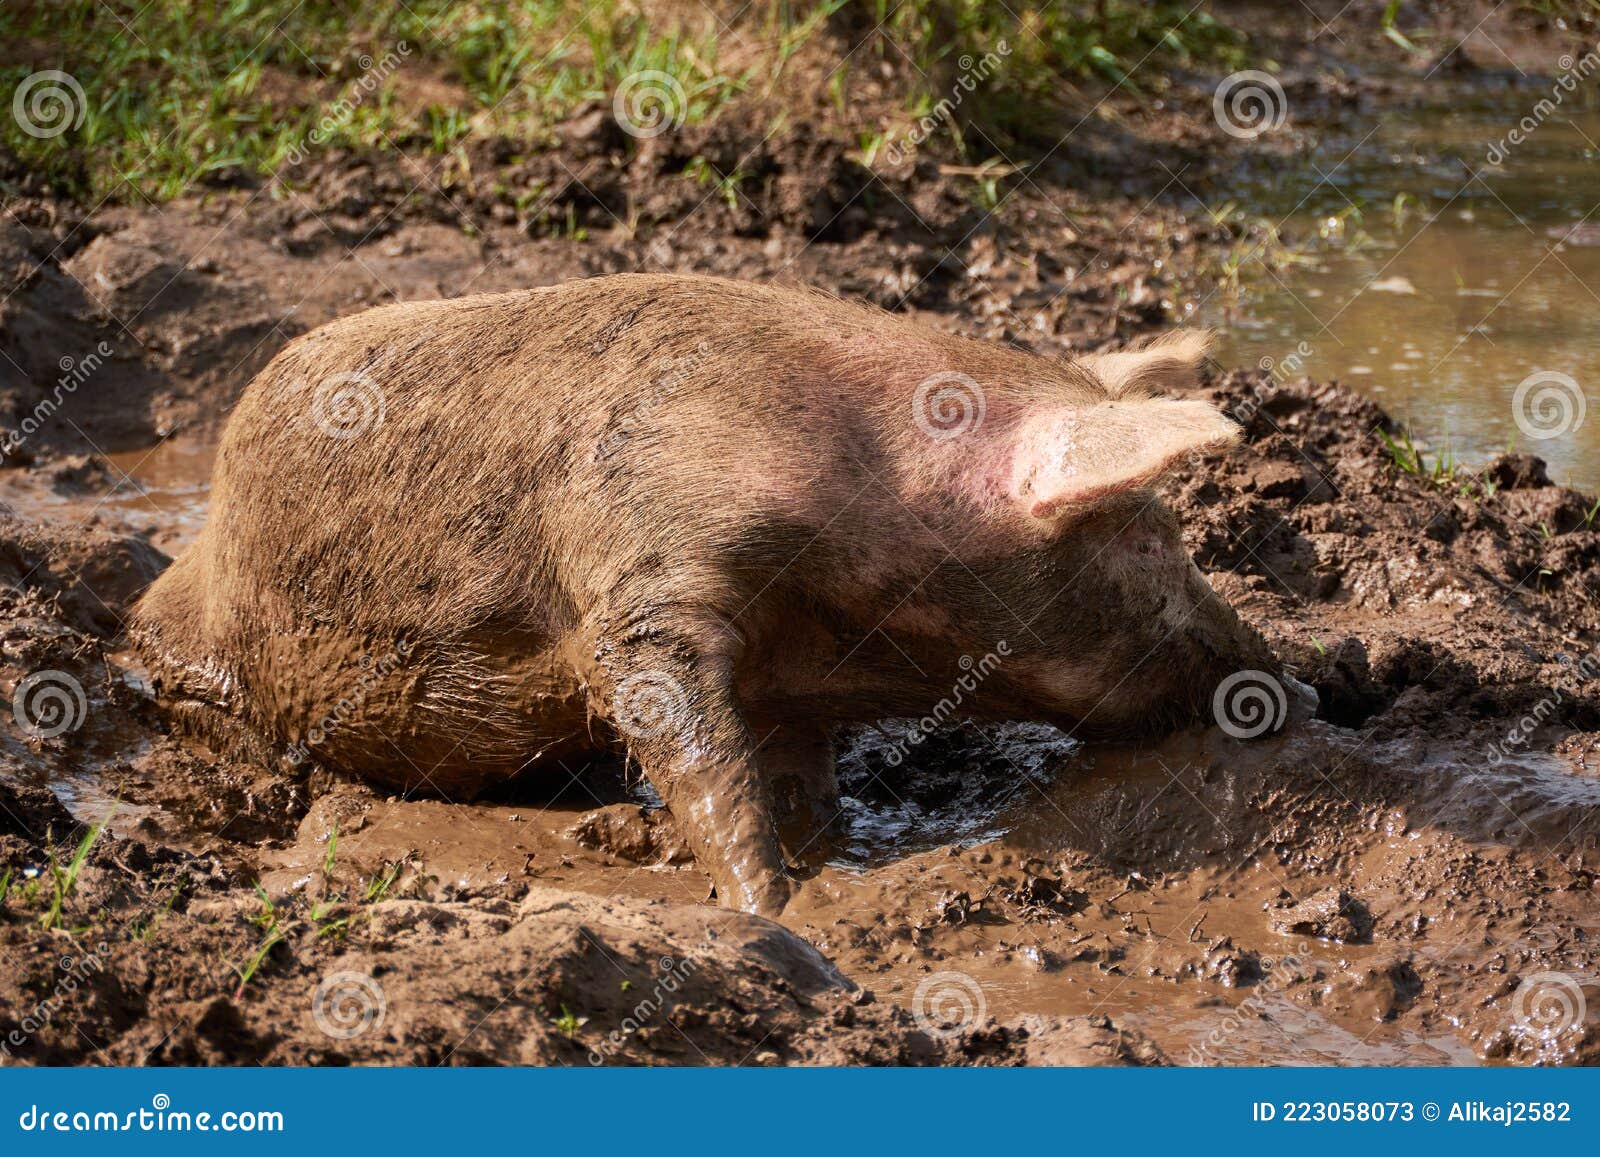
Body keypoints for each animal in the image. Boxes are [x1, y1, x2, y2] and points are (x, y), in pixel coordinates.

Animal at [131, 273, 1305, 915]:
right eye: (1150, 537)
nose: (1283, 676)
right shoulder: (646, 581)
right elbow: (695, 750)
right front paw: (771, 909)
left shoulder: (790, 675)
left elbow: (795, 776)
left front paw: (828, 863)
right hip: (197, 657)